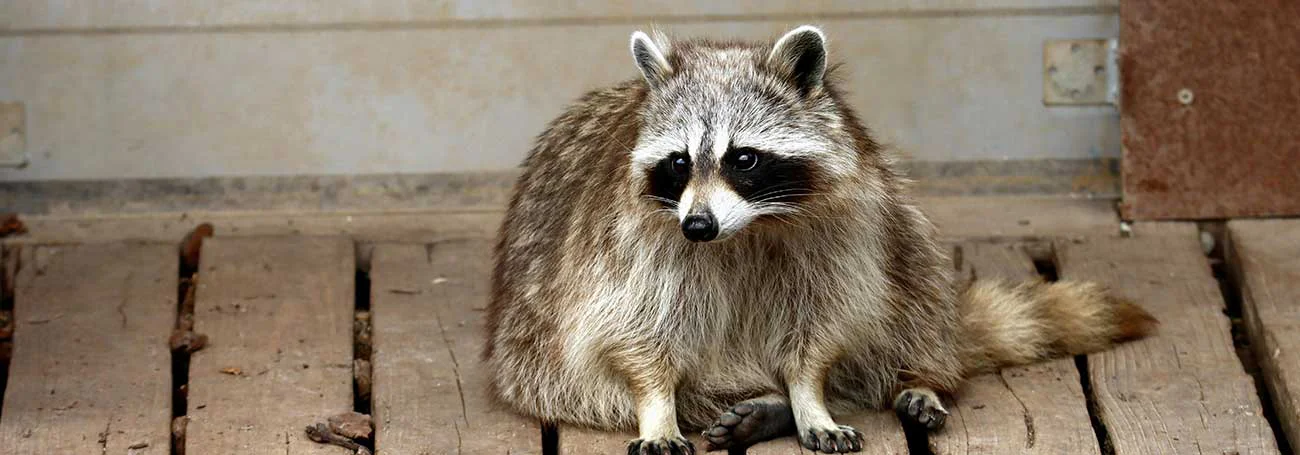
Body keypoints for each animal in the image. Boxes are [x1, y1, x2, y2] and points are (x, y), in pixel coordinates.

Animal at [482, 25, 1157, 454]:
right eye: (678, 162)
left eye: (743, 159)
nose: (698, 226)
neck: (744, 231)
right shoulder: (630, 248)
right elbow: (635, 331)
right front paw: (657, 409)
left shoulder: (843, 229)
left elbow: (823, 321)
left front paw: (808, 395)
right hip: (531, 351)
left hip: (896, 224)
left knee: (914, 275)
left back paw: (913, 378)